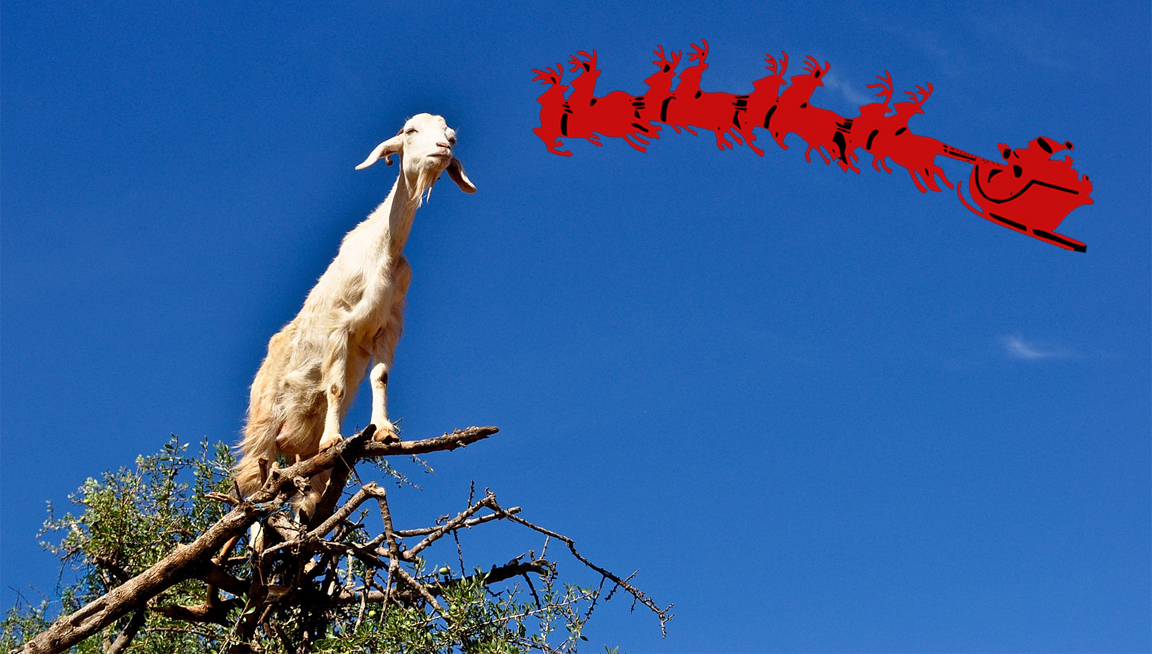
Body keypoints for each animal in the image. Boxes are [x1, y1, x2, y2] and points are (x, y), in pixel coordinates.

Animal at [233, 113, 476, 515]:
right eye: (410, 131)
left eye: (451, 138)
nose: (442, 149)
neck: (382, 251)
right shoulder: (339, 326)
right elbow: (335, 386)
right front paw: (334, 439)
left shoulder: (388, 328)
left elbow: (380, 377)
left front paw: (385, 431)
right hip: (261, 430)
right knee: (253, 498)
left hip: (302, 455)